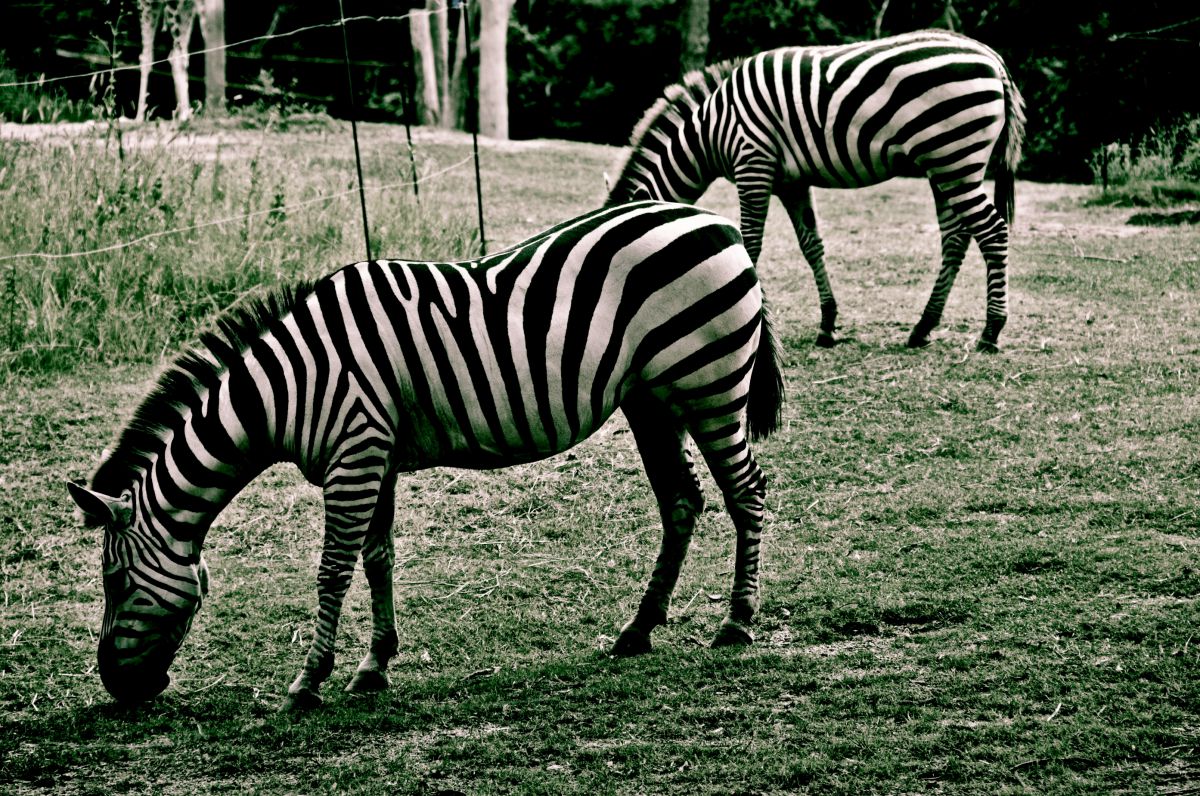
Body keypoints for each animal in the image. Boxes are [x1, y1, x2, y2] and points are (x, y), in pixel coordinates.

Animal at [66, 201, 784, 710]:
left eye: (115, 582)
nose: (117, 688)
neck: (286, 386)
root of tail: (714, 220)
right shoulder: (373, 454)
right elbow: (377, 559)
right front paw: (374, 665)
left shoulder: (354, 455)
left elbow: (333, 570)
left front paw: (308, 681)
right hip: (653, 400)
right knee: (682, 502)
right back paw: (638, 630)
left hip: (711, 382)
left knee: (746, 492)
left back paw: (737, 622)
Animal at [606, 30, 1026, 352]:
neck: (710, 130)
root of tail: (993, 59)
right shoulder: (791, 182)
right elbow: (811, 245)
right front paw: (828, 325)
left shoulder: (753, 163)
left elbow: (751, 244)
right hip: (944, 167)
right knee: (955, 238)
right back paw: (923, 327)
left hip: (955, 157)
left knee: (992, 232)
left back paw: (991, 331)